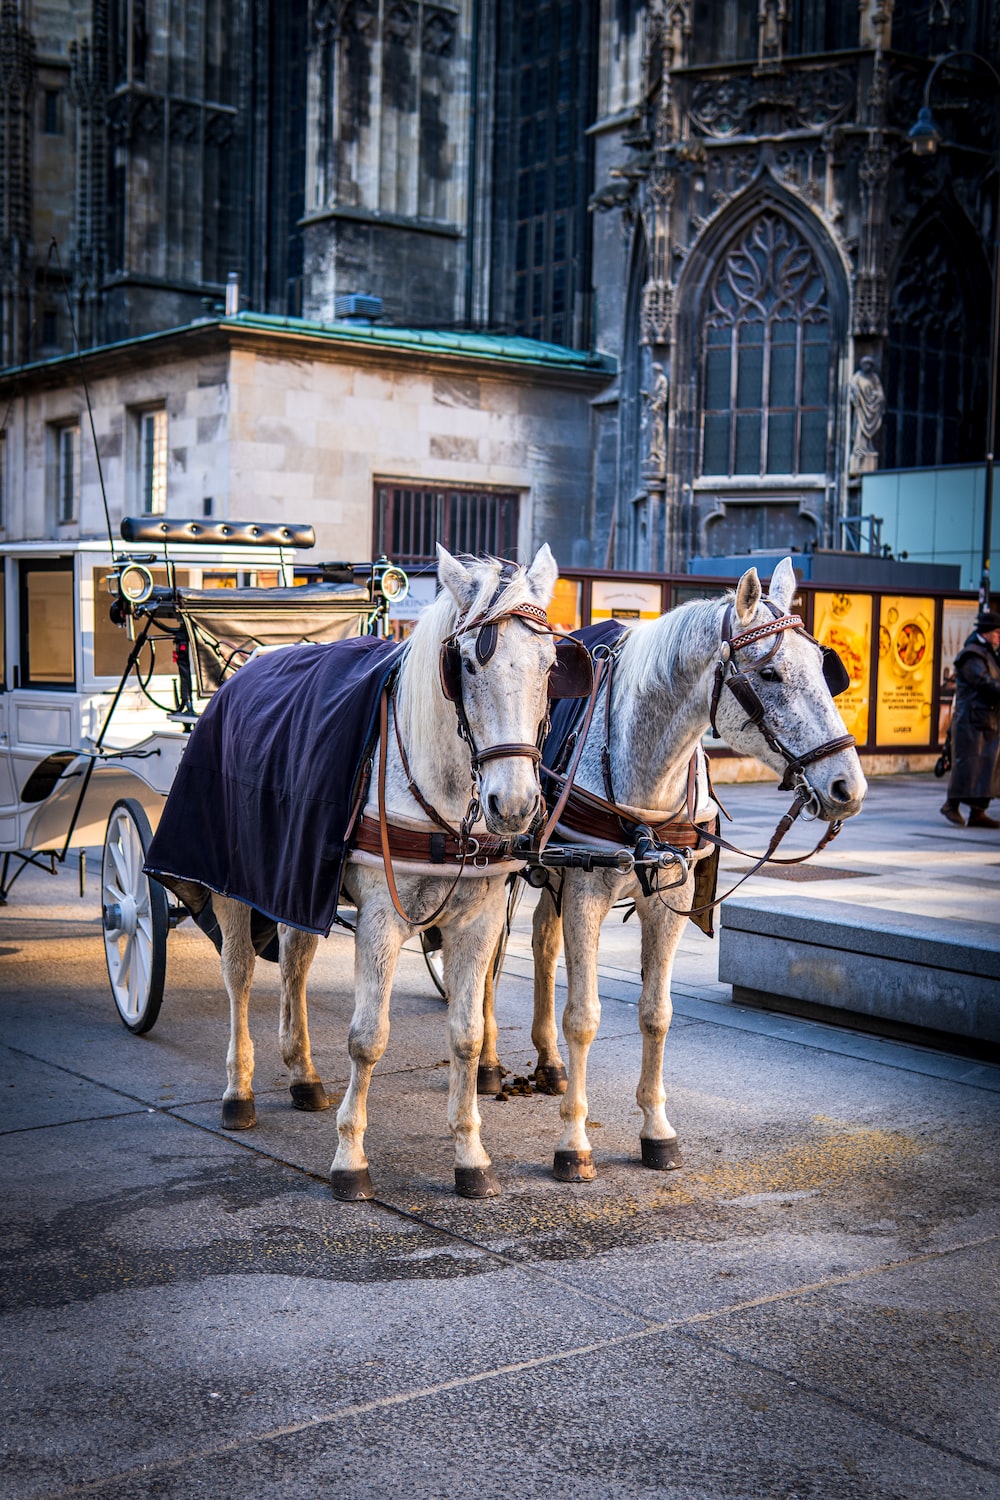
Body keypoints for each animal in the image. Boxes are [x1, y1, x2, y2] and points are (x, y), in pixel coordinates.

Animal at [191, 545, 590, 1200]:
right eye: (468, 665)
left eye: (550, 664)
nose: (513, 804)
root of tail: (247, 666)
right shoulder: (380, 918)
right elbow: (367, 1037)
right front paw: (350, 1156)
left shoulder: (478, 921)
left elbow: (466, 1034)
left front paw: (470, 1154)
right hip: (232, 882)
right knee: (240, 973)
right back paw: (238, 1088)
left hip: (298, 876)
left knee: (296, 959)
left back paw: (301, 1072)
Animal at [478, 556, 868, 1182]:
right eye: (771, 674)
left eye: (823, 668)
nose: (847, 788)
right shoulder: (587, 891)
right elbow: (583, 1016)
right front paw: (573, 1142)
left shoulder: (671, 898)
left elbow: (656, 1013)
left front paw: (656, 1130)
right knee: (491, 956)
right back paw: (489, 1063)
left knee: (542, 941)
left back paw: (548, 1062)